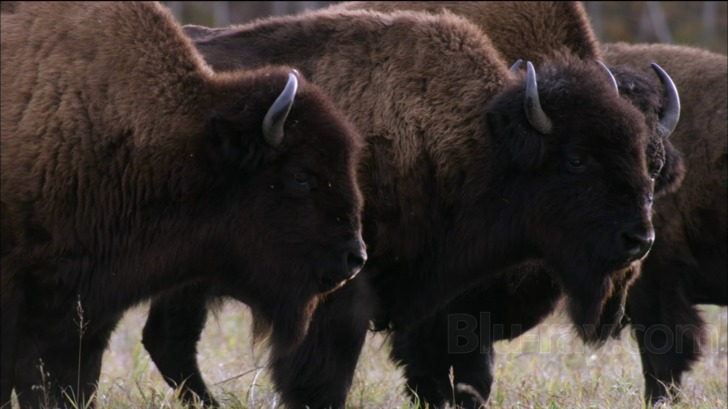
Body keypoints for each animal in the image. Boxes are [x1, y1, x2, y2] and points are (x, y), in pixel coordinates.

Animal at [142, 8, 671, 408]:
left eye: (647, 159)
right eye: (576, 158)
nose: (640, 239)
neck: (475, 142)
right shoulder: (341, 297)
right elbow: (322, 379)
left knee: (167, 341)